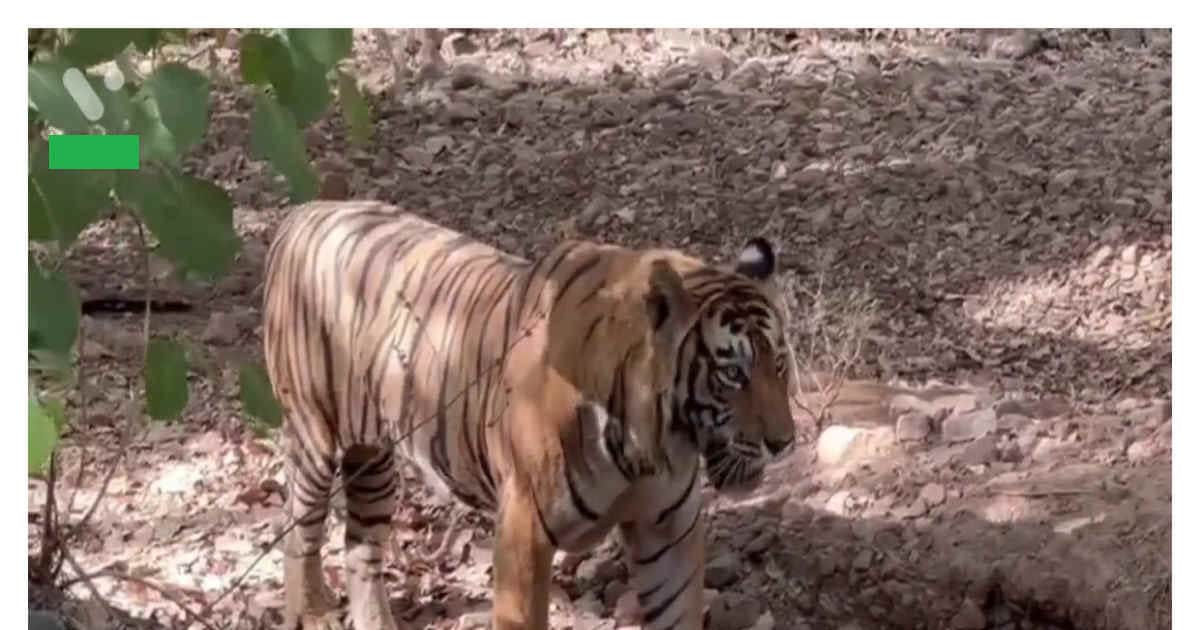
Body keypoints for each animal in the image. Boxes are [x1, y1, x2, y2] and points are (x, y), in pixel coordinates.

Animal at [261, 200, 798, 630]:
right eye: (733, 374)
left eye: (778, 364)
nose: (784, 443)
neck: (658, 442)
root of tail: (304, 212)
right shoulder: (526, 526)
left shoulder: (668, 529)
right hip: (313, 437)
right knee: (299, 530)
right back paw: (313, 613)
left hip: (372, 459)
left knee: (360, 545)